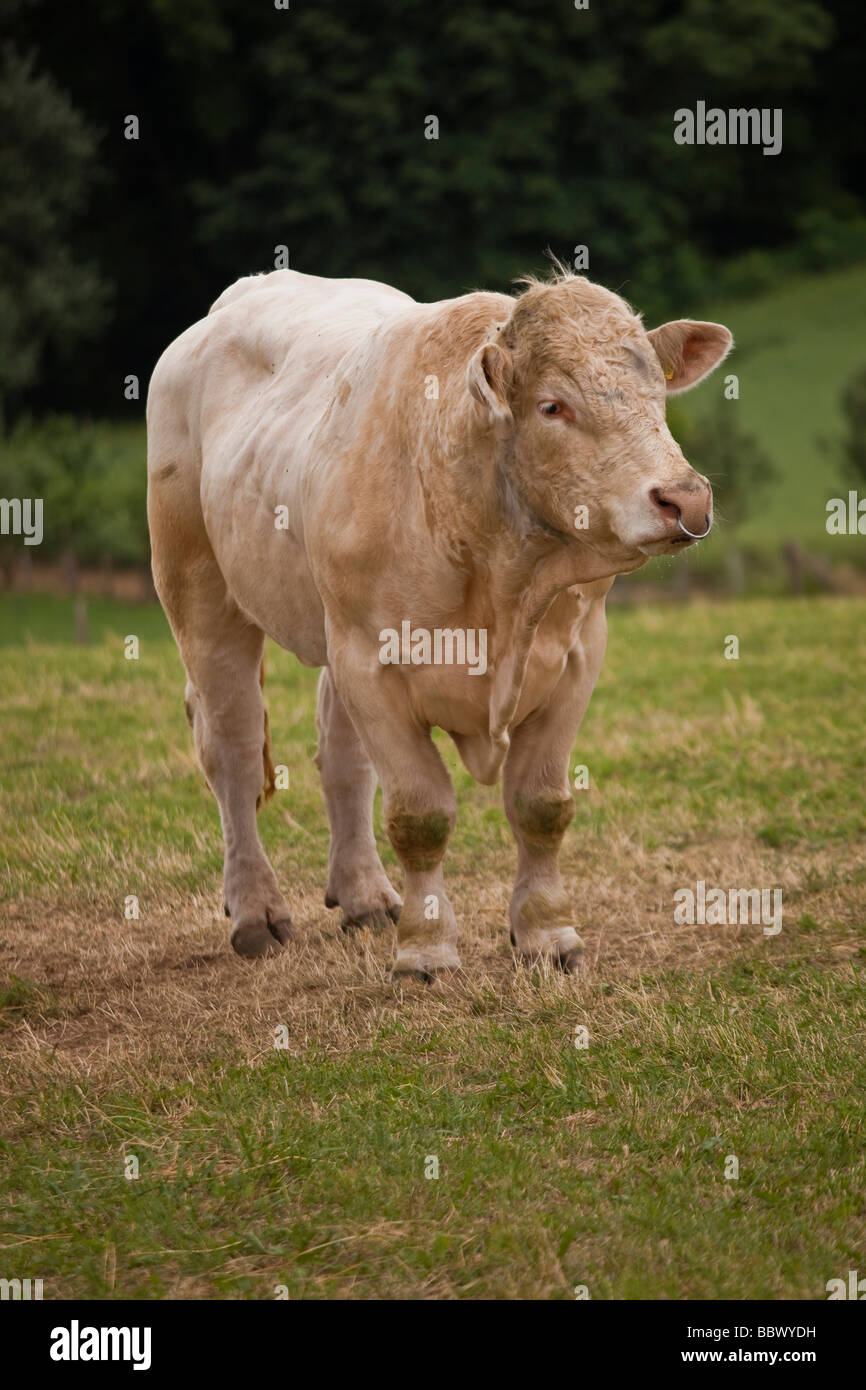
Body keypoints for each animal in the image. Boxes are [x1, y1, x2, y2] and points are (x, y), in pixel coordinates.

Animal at [146, 267, 731, 979]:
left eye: (657, 395)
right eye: (552, 407)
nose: (685, 498)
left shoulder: (575, 657)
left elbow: (541, 806)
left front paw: (547, 933)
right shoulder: (370, 659)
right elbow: (420, 814)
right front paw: (425, 950)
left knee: (341, 757)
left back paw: (365, 896)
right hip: (199, 589)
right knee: (230, 747)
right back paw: (256, 911)